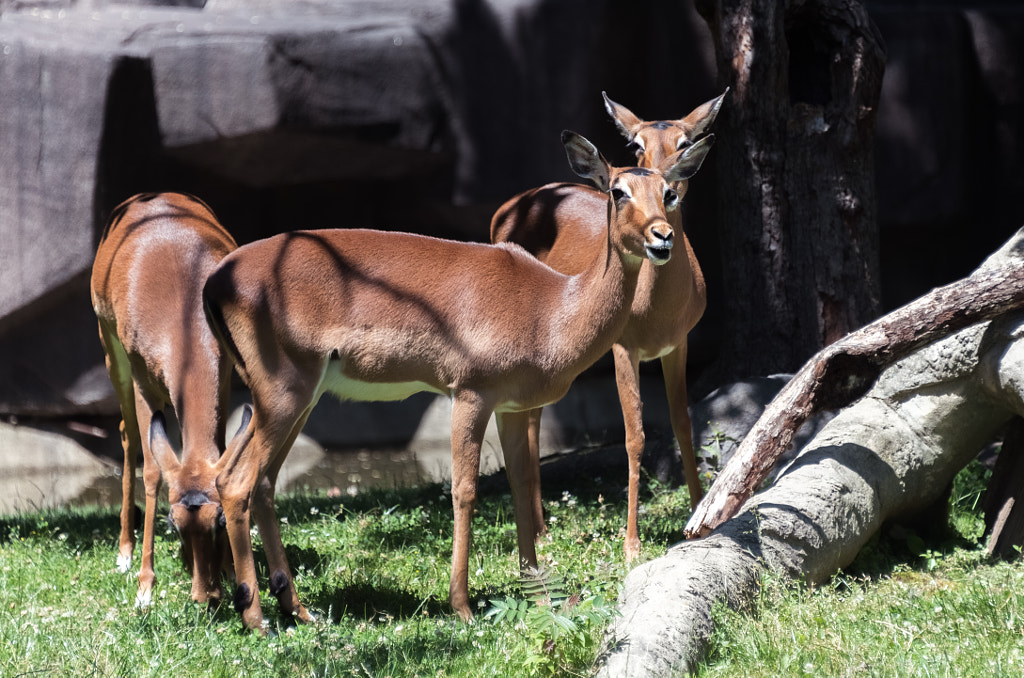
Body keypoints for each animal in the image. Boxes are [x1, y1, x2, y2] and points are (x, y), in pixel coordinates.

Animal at [90, 192, 242, 607]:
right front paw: (145, 588)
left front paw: (228, 569)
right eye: (173, 523)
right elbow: (153, 472)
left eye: (220, 521)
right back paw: (124, 553)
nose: (205, 596)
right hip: (112, 355)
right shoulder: (143, 380)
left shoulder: (225, 378)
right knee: (127, 434)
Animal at [201, 130, 714, 628]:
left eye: (667, 191)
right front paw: (462, 606)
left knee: (255, 481)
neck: (551, 308)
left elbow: (520, 481)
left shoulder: (513, 407)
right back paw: (256, 618)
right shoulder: (470, 395)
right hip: (283, 396)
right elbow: (464, 490)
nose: (662, 236)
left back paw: (297, 610)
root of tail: (216, 280)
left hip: (292, 402)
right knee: (237, 482)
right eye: (617, 190)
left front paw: (537, 593)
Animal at [490, 90, 726, 560]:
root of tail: (510, 206)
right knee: (531, 423)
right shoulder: (623, 350)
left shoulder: (678, 346)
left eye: (684, 140)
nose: (668, 184)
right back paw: (540, 531)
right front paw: (632, 543)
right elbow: (634, 435)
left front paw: (697, 517)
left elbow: (683, 424)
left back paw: (541, 529)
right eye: (635, 145)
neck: (657, 306)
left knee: (533, 419)